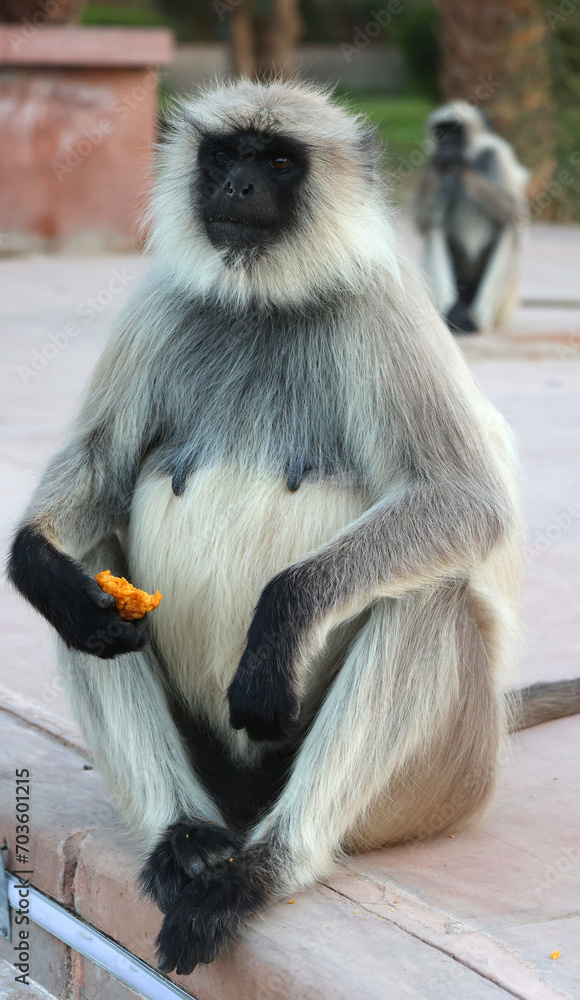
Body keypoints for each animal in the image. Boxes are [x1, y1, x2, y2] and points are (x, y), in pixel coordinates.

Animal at [414, 101, 529, 334]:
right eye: (440, 131)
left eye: (455, 130)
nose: (446, 143)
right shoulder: (432, 165)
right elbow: (422, 222)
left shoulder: (496, 155)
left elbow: (516, 214)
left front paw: (461, 166)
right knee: (434, 227)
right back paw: (449, 314)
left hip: (504, 304)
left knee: (509, 228)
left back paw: (475, 320)